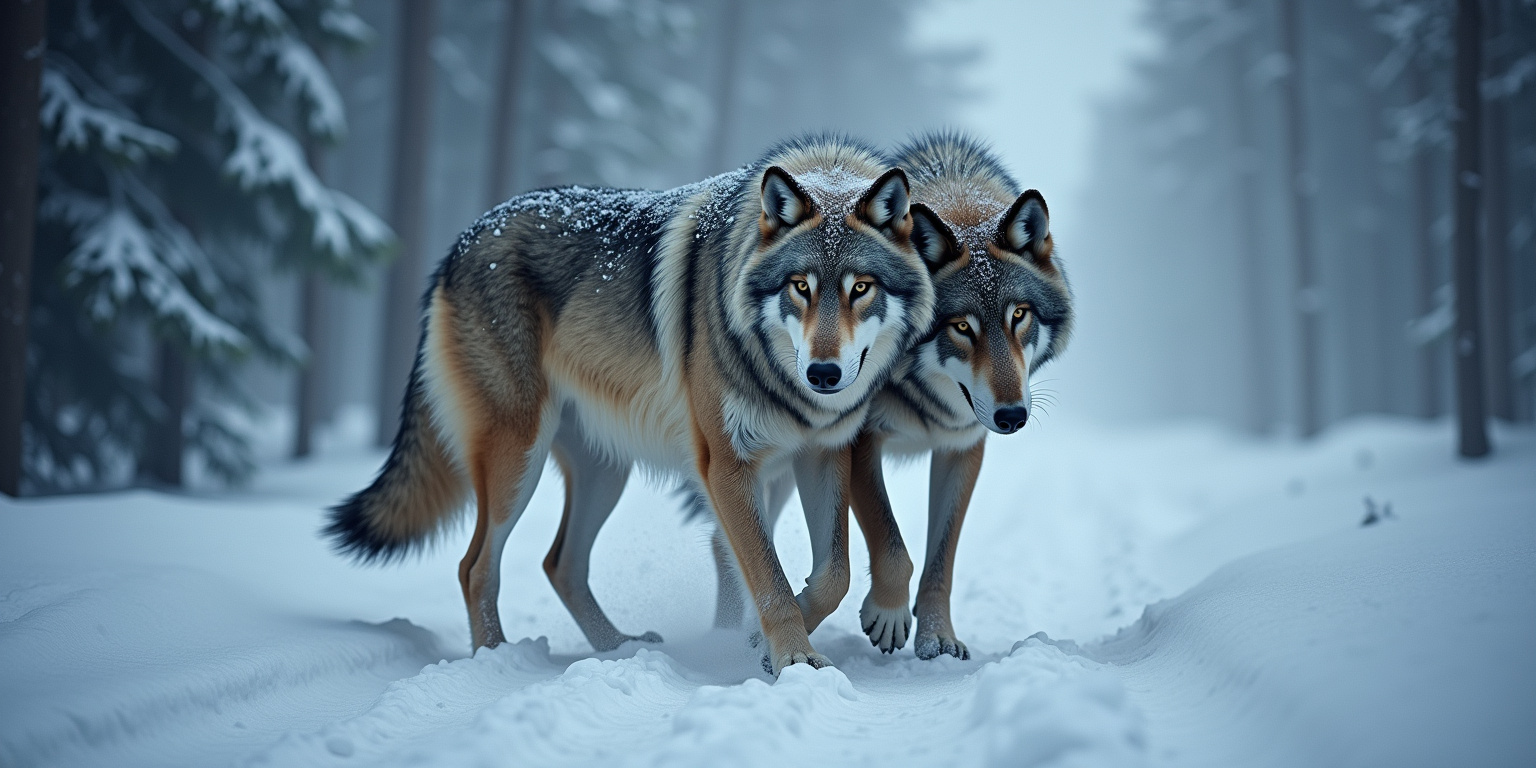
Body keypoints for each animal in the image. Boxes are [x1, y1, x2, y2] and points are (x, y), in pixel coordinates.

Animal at [324, 135, 958, 673]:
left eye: (860, 288)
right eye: (800, 287)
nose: (823, 374)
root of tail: (462, 240)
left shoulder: (823, 454)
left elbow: (834, 574)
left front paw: (765, 640)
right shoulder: (726, 466)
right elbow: (769, 578)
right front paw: (793, 656)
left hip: (606, 470)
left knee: (560, 564)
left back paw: (619, 648)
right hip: (517, 459)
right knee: (475, 566)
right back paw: (496, 661)